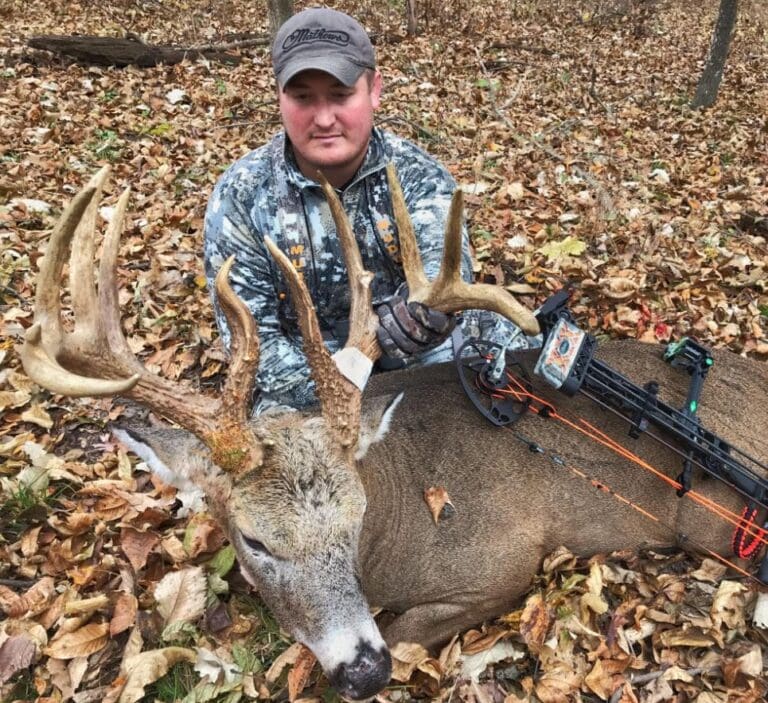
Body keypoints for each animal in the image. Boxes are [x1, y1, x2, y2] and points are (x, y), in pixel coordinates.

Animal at [21, 166, 768, 701]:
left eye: (356, 515)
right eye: (255, 539)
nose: (364, 672)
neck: (403, 511)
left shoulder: (503, 563)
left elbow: (404, 626)